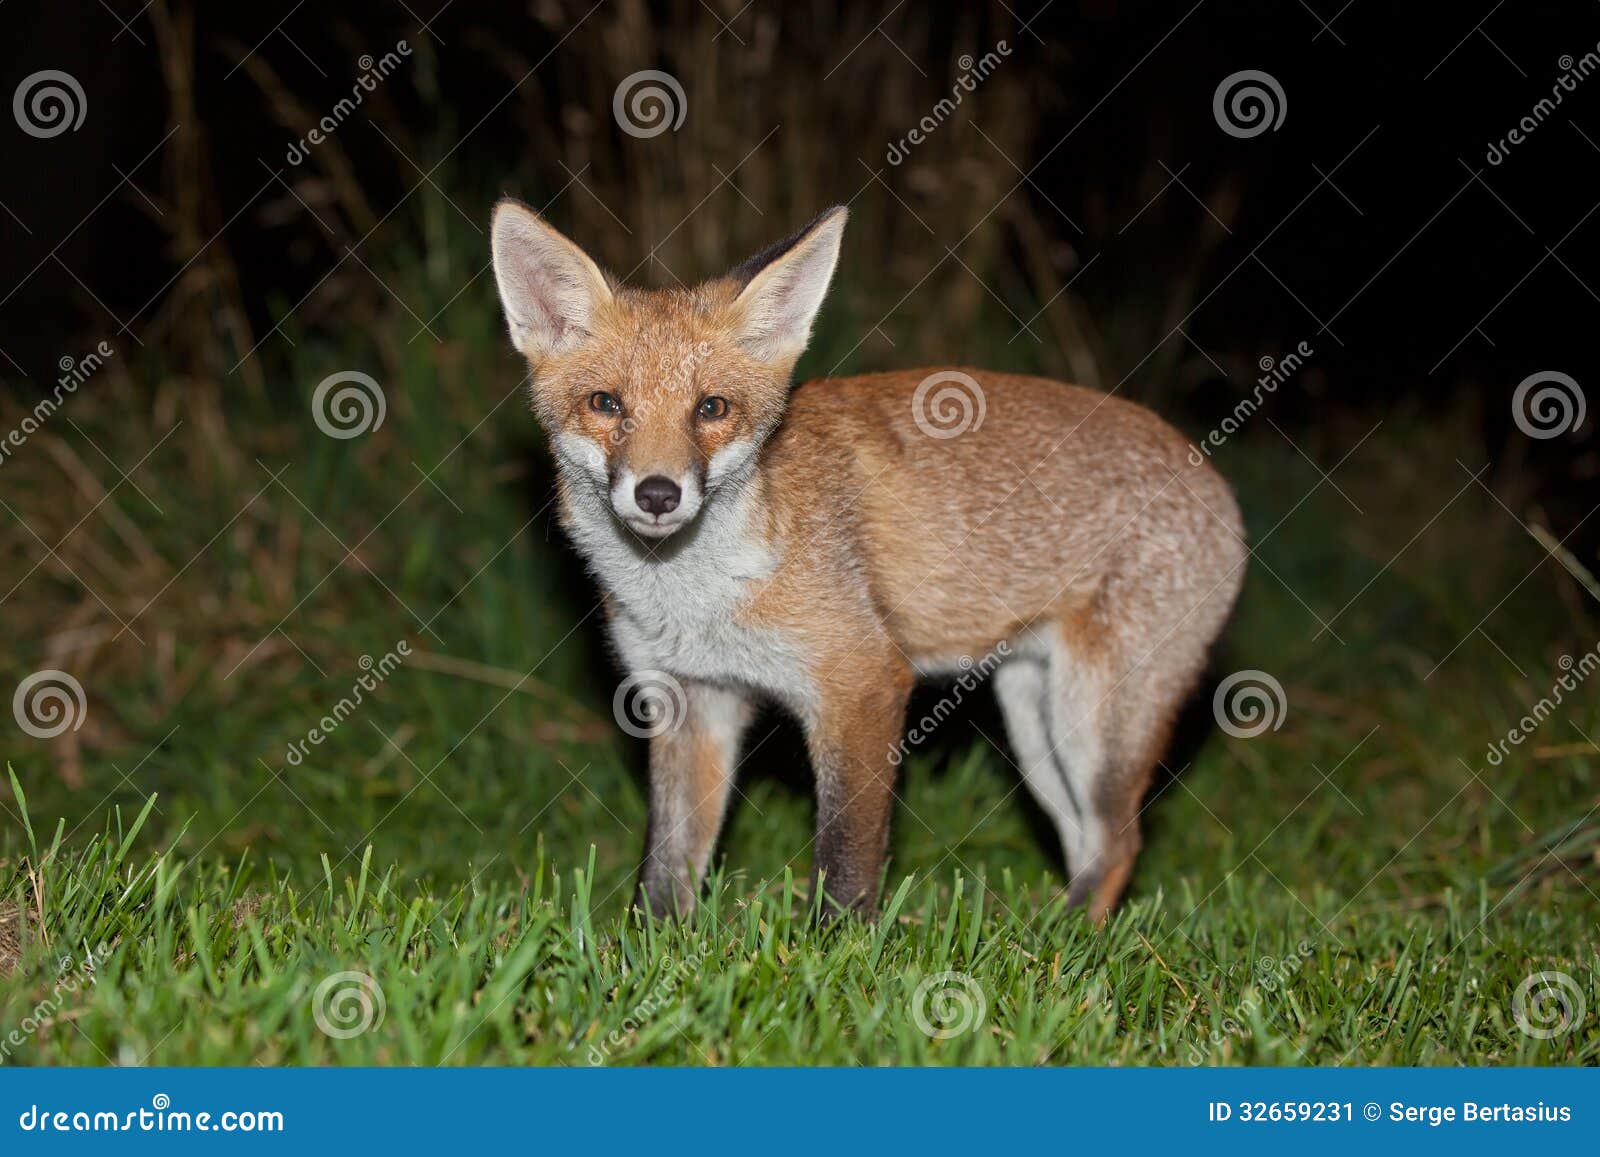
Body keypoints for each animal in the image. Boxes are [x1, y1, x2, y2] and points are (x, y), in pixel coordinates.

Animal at [489, 199, 1246, 922]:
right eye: (605, 403)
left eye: (712, 408)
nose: (657, 493)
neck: (694, 597)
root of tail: (1212, 478)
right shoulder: (691, 698)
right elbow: (666, 872)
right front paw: (646, 954)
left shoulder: (863, 684)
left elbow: (846, 864)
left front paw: (835, 954)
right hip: (1033, 719)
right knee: (1091, 840)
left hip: (1092, 720)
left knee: (1122, 841)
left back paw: (1059, 942)